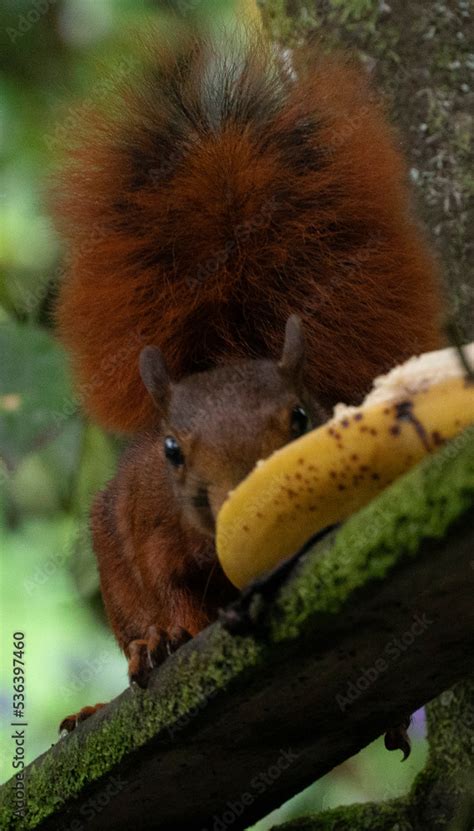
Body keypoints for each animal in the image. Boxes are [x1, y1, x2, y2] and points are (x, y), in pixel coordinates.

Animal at [53, 31, 442, 732]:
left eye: (302, 418)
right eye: (172, 449)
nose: (244, 497)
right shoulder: (149, 525)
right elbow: (169, 588)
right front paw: (174, 635)